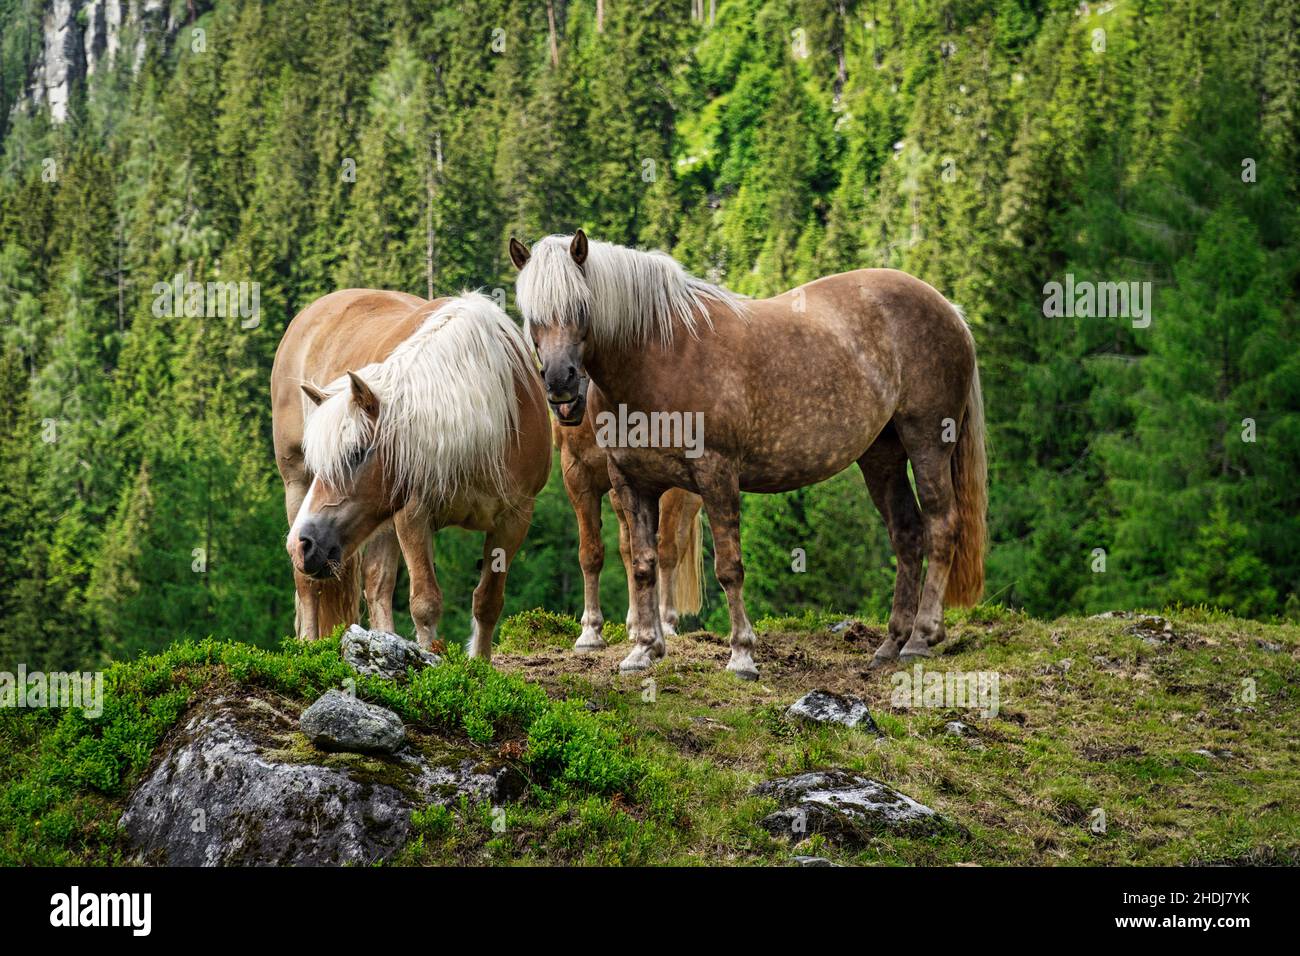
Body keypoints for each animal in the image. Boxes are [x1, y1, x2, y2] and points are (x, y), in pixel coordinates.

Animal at [271, 289, 550, 658]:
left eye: (356, 453)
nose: (304, 543)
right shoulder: (413, 514)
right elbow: (425, 602)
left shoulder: (514, 518)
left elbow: (488, 601)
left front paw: (480, 664)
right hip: (297, 486)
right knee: (307, 584)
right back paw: (309, 647)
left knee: (376, 583)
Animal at [553, 393, 705, 650]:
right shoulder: (576, 472)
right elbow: (591, 553)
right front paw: (590, 632)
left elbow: (666, 551)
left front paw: (664, 624)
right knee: (629, 547)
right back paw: (636, 624)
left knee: (674, 545)